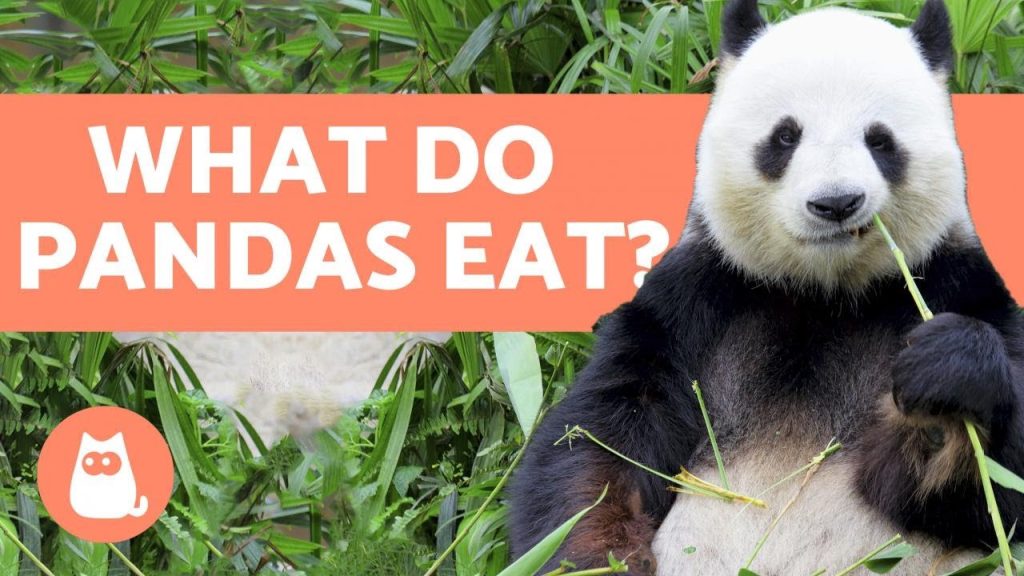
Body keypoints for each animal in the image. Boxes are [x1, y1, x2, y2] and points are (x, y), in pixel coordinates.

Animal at [509, 0, 1024, 574]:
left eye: (880, 140)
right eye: (785, 136)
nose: (836, 203)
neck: (823, 293)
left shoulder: (954, 283)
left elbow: (995, 494)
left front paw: (943, 396)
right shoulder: (696, 300)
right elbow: (599, 442)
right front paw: (600, 555)